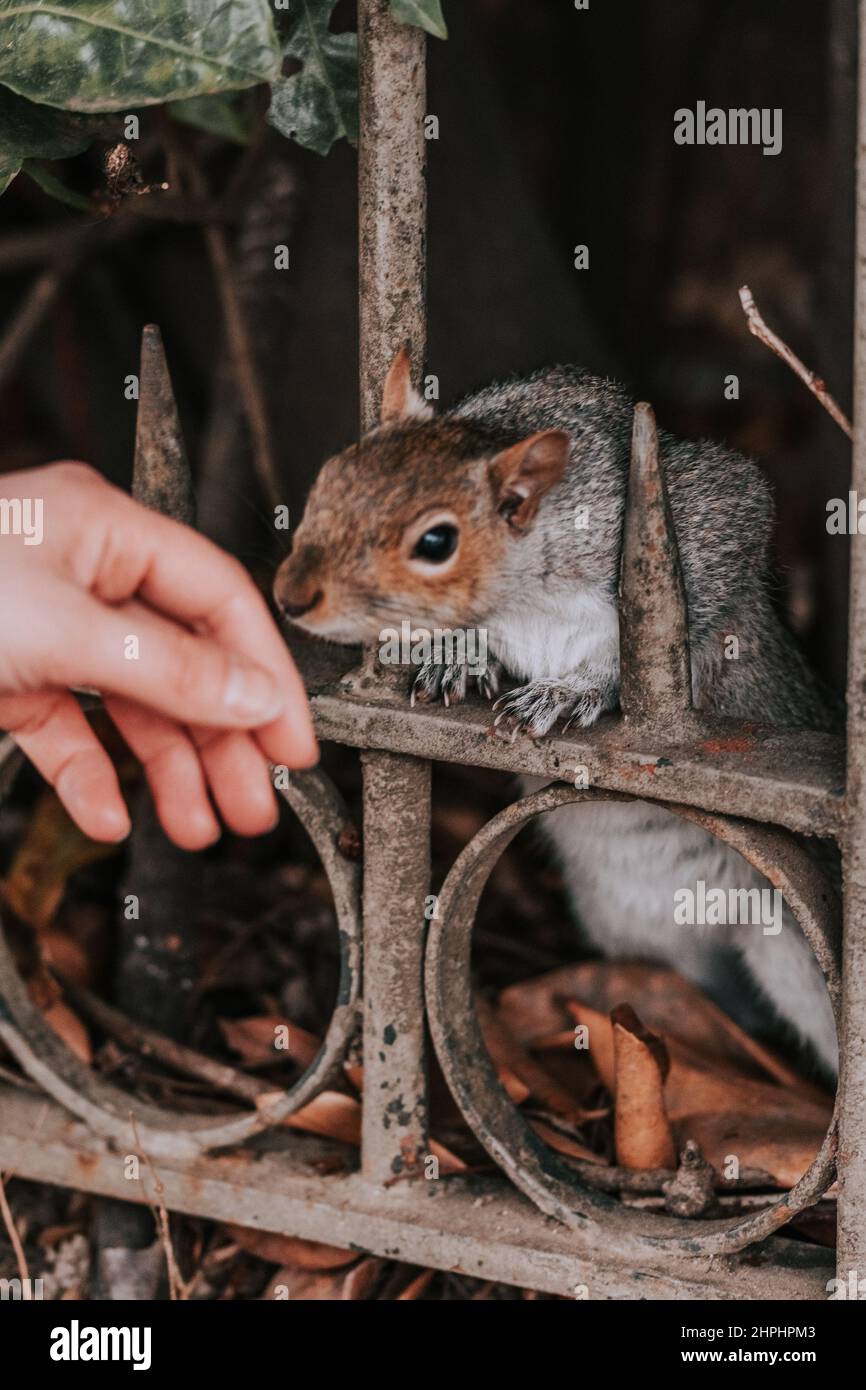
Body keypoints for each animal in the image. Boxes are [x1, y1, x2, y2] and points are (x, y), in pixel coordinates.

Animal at [274, 348, 840, 1078]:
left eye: (436, 542)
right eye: (329, 480)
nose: (290, 596)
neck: (523, 592)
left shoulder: (700, 521)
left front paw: (576, 690)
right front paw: (457, 653)